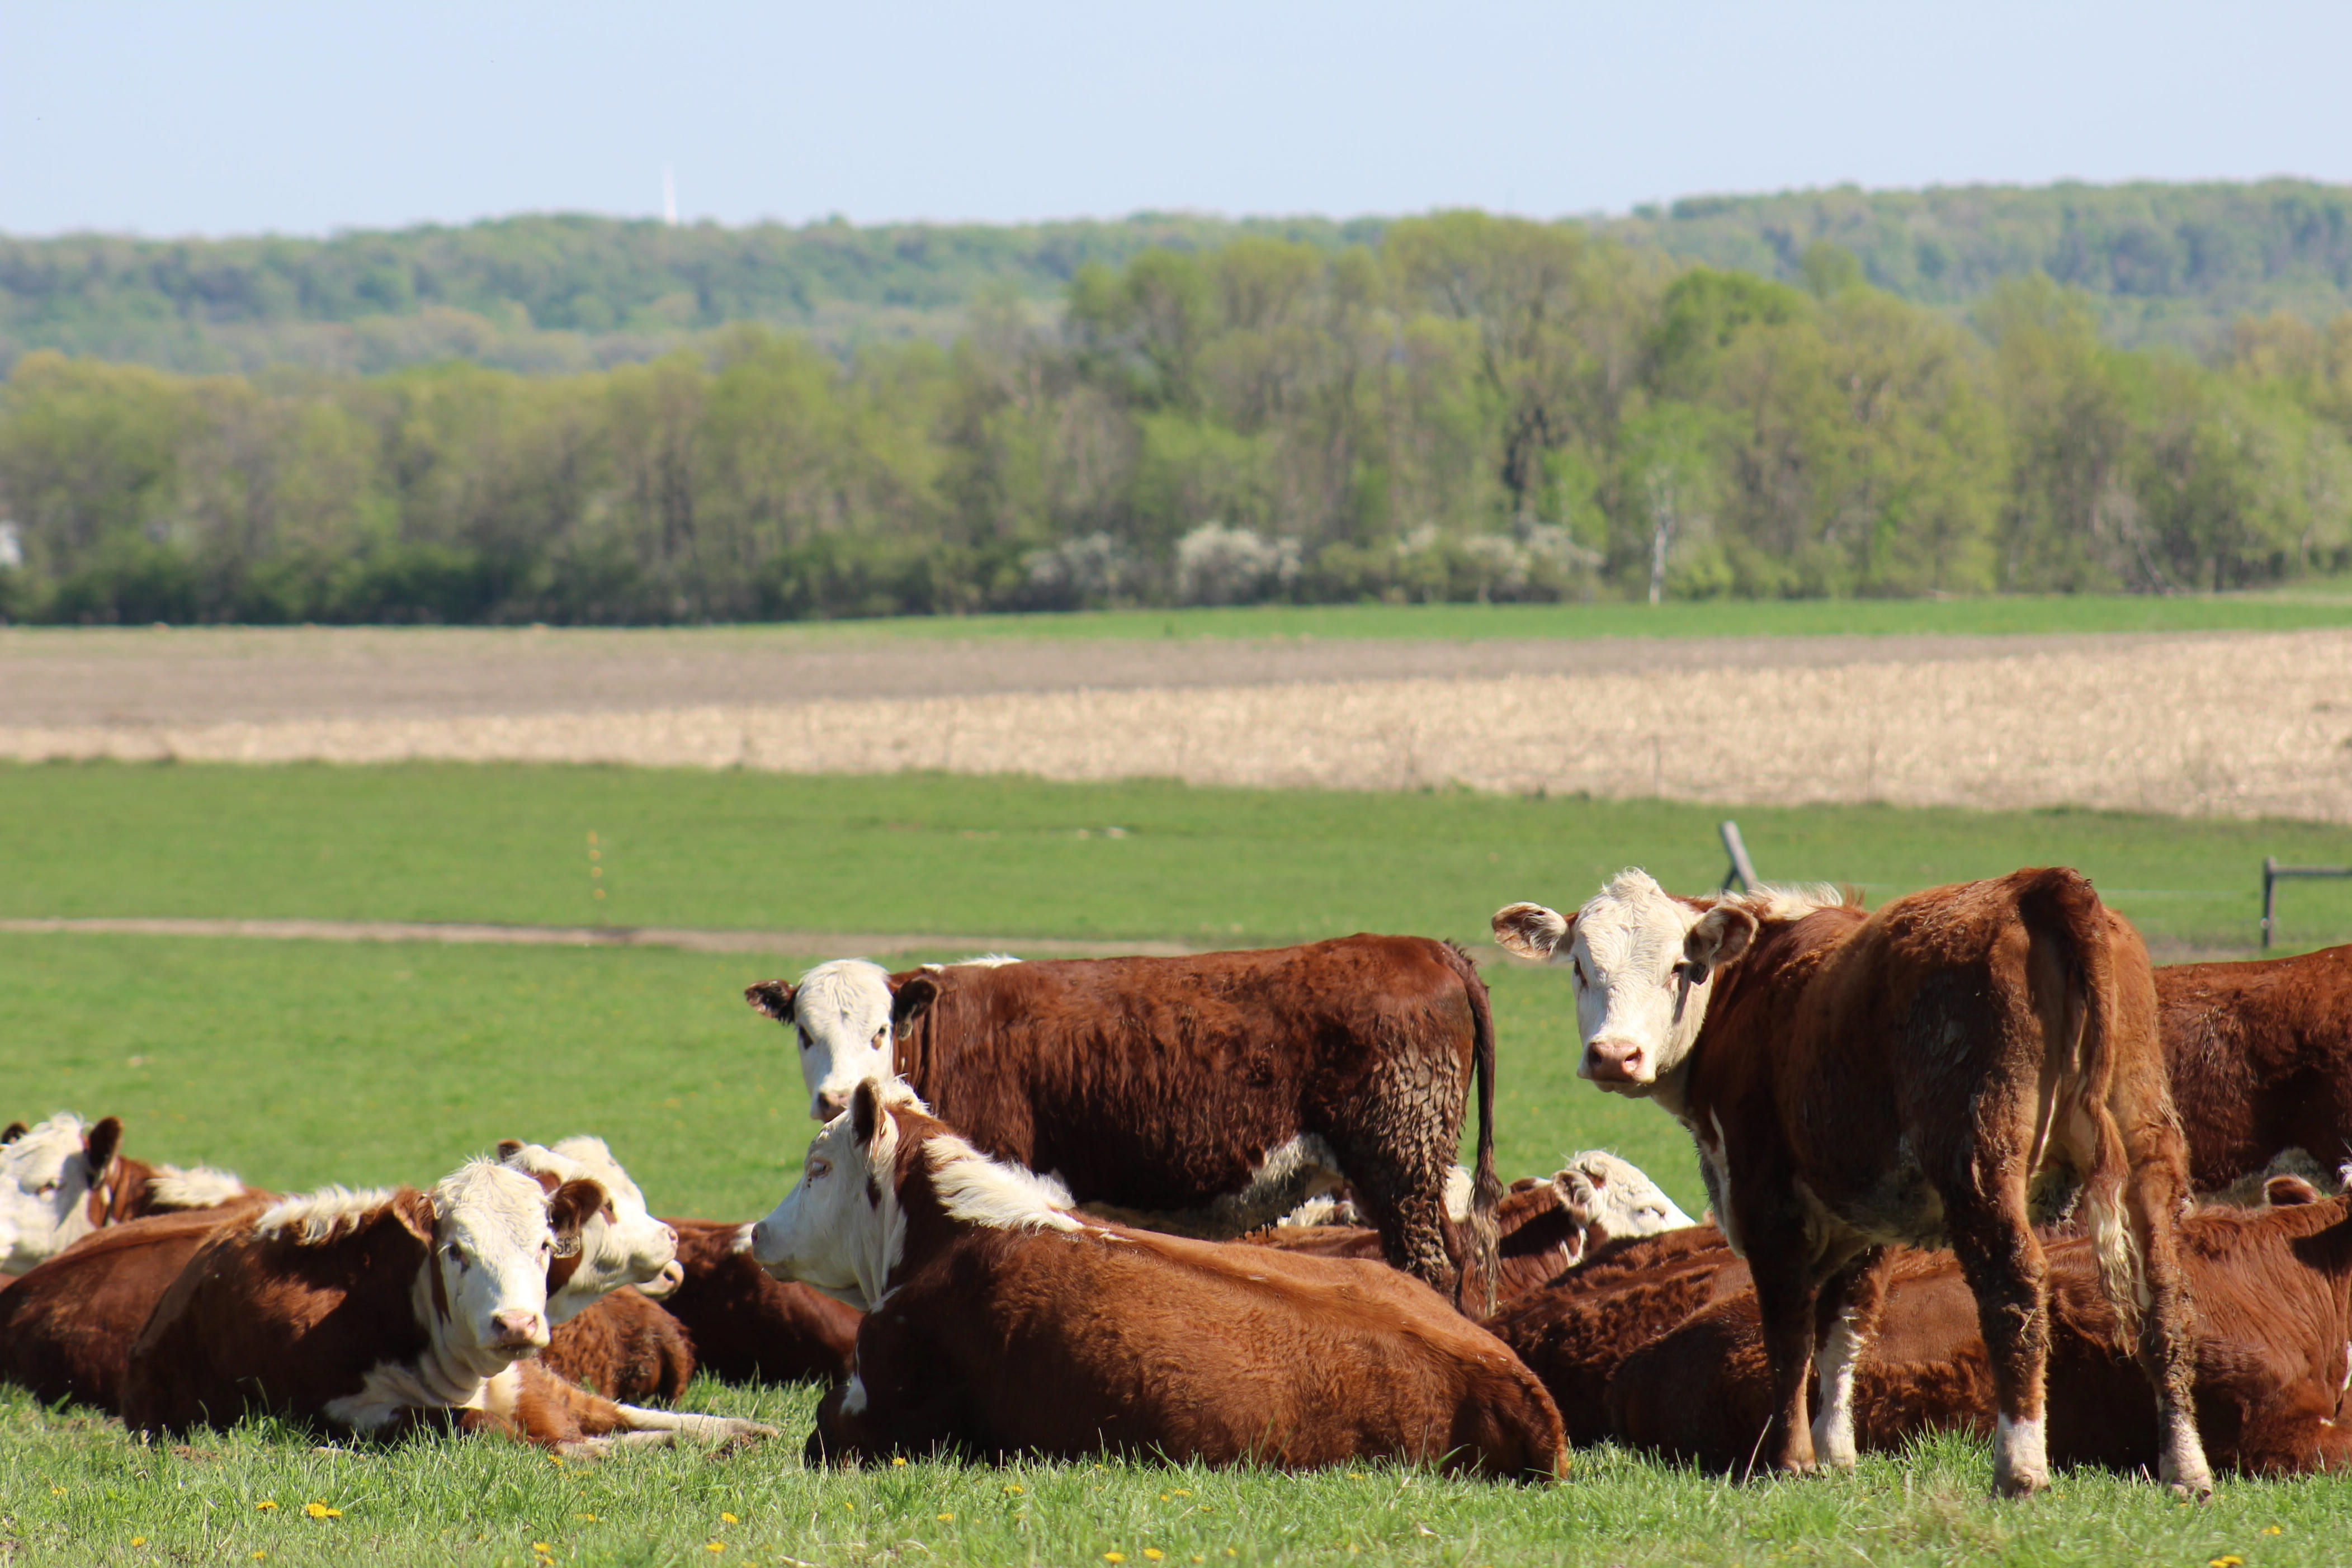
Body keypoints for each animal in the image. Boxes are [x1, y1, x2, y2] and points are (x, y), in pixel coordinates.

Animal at [121, 1160, 772, 1454]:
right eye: (455, 1249)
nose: (516, 1323)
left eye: (544, 1244)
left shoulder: (528, 1383)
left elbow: (616, 1420)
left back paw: (746, 1431)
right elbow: (523, 1435)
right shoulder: (351, 1411)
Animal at [745, 936, 1501, 1300]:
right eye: (805, 1032)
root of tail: (1427, 948)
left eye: (880, 1029)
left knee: (1432, 1267)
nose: (840, 1095)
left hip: (1399, 1160)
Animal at [1493, 868, 2212, 1497]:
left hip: (1978, 1156)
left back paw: (2020, 1466)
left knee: (2013, 1288)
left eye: (1678, 965)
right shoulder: (1865, 1216)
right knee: (2163, 1291)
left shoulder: (1767, 1201)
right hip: (2144, 1142)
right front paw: (1835, 1452)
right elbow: (1844, 1328)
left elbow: (1790, 1335)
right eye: (1582, 967)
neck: (1752, 990)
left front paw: (1789, 1458)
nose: (1614, 1055)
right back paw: (2184, 1465)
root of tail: (2038, 887)